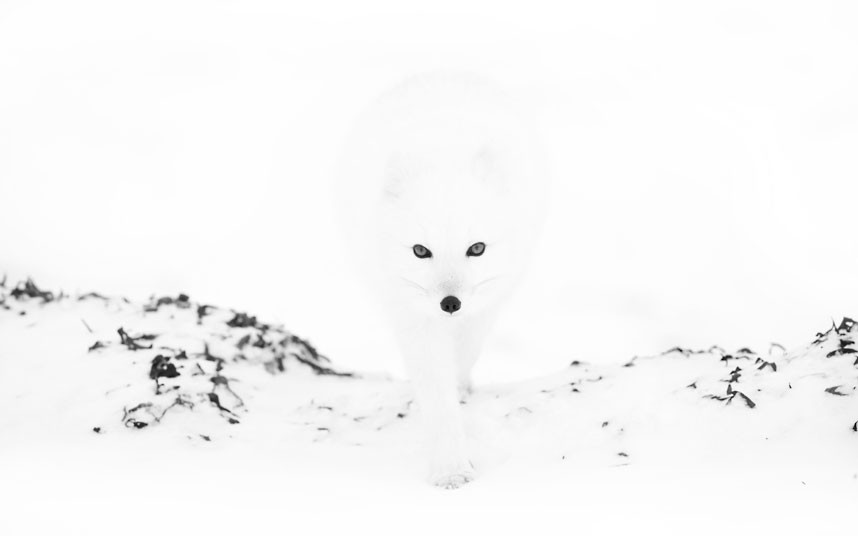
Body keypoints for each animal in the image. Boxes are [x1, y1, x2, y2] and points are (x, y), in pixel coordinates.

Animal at [333, 73, 549, 488]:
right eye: (420, 251)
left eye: (477, 248)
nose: (450, 303)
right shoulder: (413, 317)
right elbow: (436, 391)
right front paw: (451, 468)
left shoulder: (484, 306)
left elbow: (463, 357)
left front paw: (459, 391)